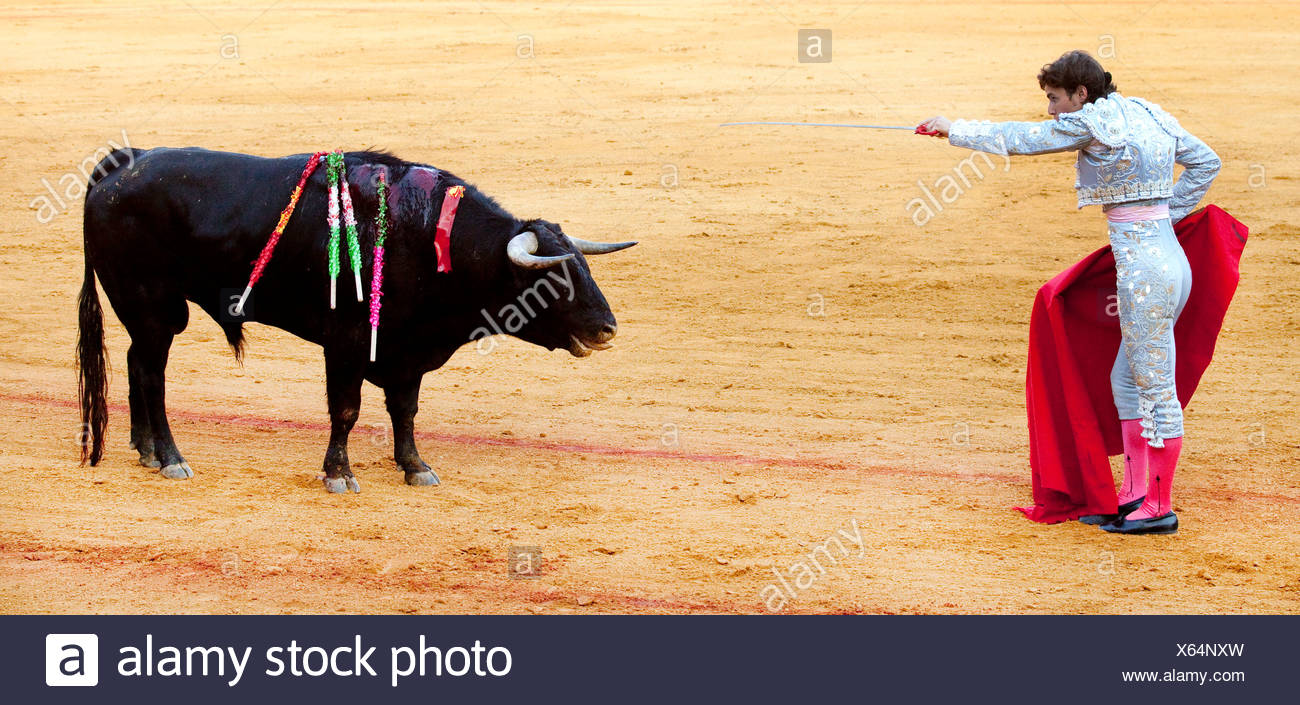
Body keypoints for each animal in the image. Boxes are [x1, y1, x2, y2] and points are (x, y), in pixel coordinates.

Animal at [78, 147, 635, 493]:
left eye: (584, 269)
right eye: (552, 281)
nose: (607, 328)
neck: (424, 234)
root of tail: (119, 166)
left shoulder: (406, 350)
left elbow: (405, 411)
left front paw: (415, 467)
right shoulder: (345, 343)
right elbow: (346, 410)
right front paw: (338, 475)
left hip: (149, 314)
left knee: (136, 363)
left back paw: (146, 450)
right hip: (154, 308)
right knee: (153, 374)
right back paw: (172, 458)